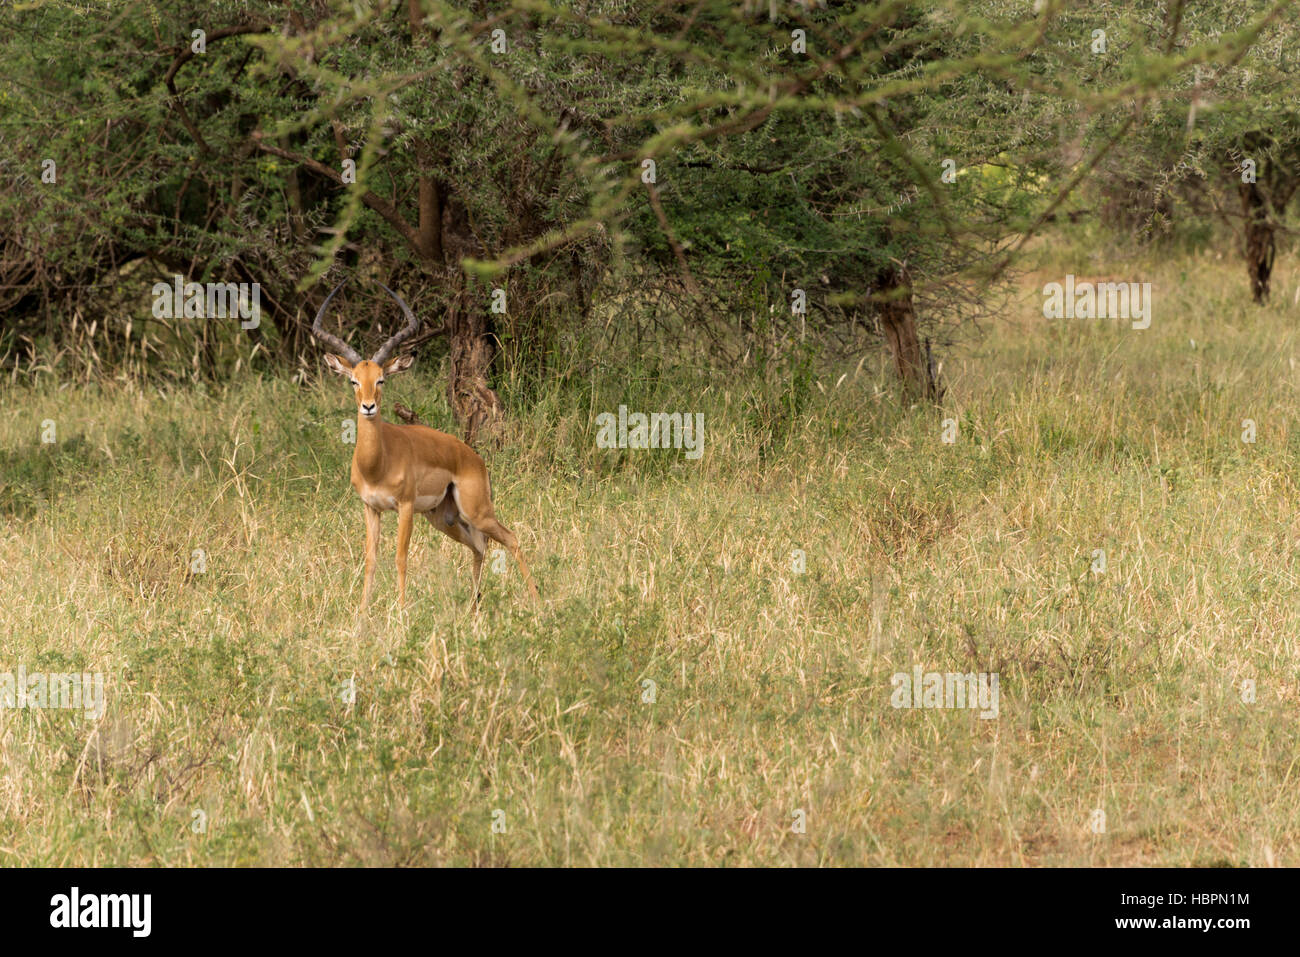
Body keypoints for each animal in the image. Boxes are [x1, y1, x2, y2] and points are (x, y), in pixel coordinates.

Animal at [311, 279, 540, 609]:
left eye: (381, 379)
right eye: (354, 380)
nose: (368, 407)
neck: (377, 464)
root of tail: (475, 458)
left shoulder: (405, 507)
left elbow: (400, 558)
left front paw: (401, 610)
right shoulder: (371, 508)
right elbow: (371, 559)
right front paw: (362, 612)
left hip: (476, 511)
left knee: (511, 538)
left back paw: (536, 600)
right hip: (444, 518)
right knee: (479, 547)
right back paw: (474, 606)